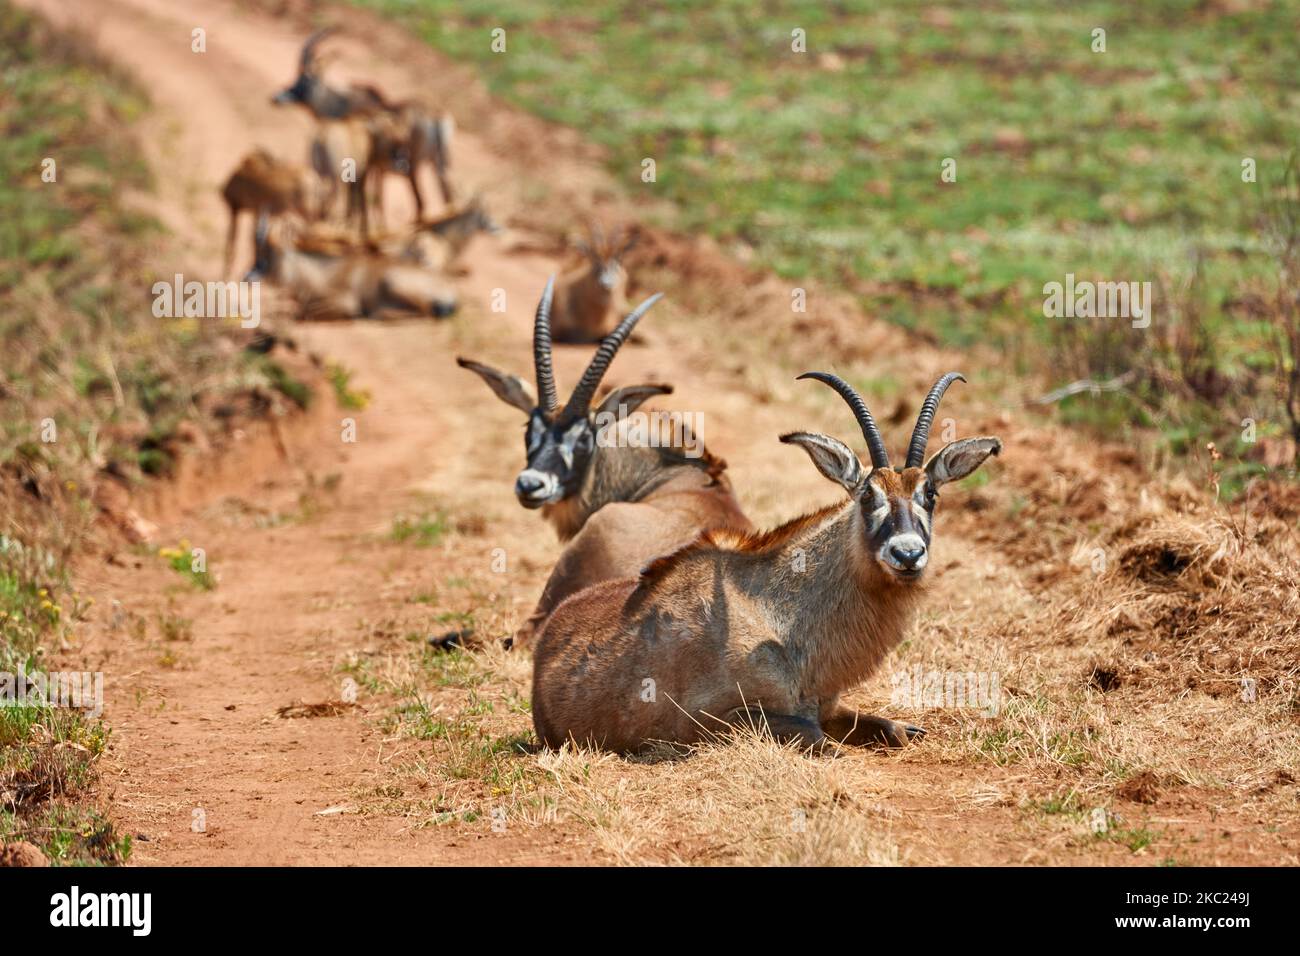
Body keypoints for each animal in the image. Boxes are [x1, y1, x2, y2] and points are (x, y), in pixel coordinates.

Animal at [245, 214, 457, 320]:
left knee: (426, 312)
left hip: (393, 283)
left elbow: (302, 313)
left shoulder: (346, 302)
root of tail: (450, 291)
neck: (321, 273)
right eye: (254, 257)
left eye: (265, 259)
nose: (246, 279)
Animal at [531, 372, 1002, 753]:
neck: (778, 615)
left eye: (930, 494)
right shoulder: (714, 720)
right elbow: (819, 739)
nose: (907, 554)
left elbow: (894, 730)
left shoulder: (826, 703)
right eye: (868, 495)